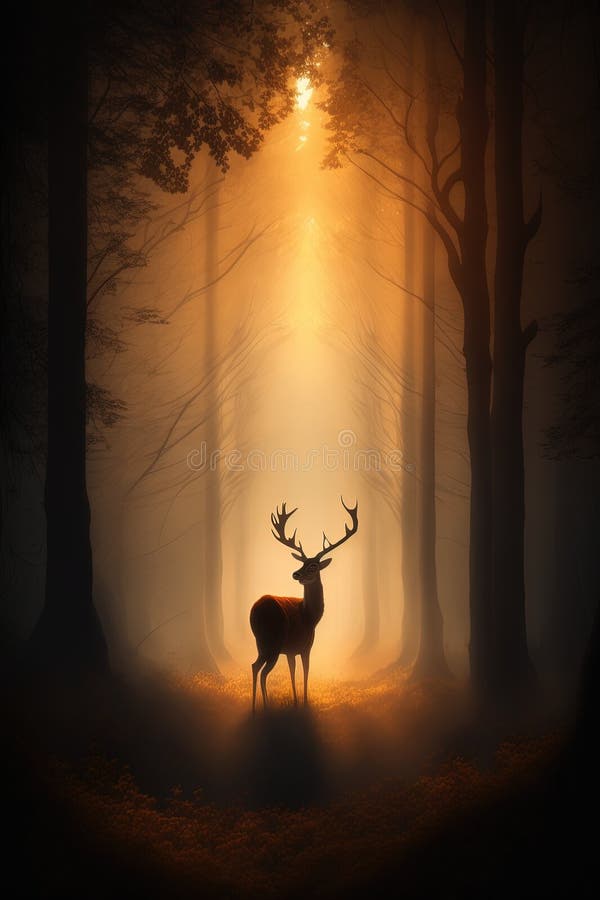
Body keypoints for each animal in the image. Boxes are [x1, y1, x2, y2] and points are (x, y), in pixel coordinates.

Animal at [250, 496, 358, 712]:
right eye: (302, 563)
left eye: (313, 565)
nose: (295, 573)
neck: (310, 615)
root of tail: (255, 611)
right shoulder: (307, 645)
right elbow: (306, 672)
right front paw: (306, 701)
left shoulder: (291, 650)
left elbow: (292, 673)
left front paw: (296, 701)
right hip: (272, 641)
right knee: (263, 671)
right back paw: (265, 706)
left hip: (261, 642)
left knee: (254, 666)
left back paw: (254, 707)